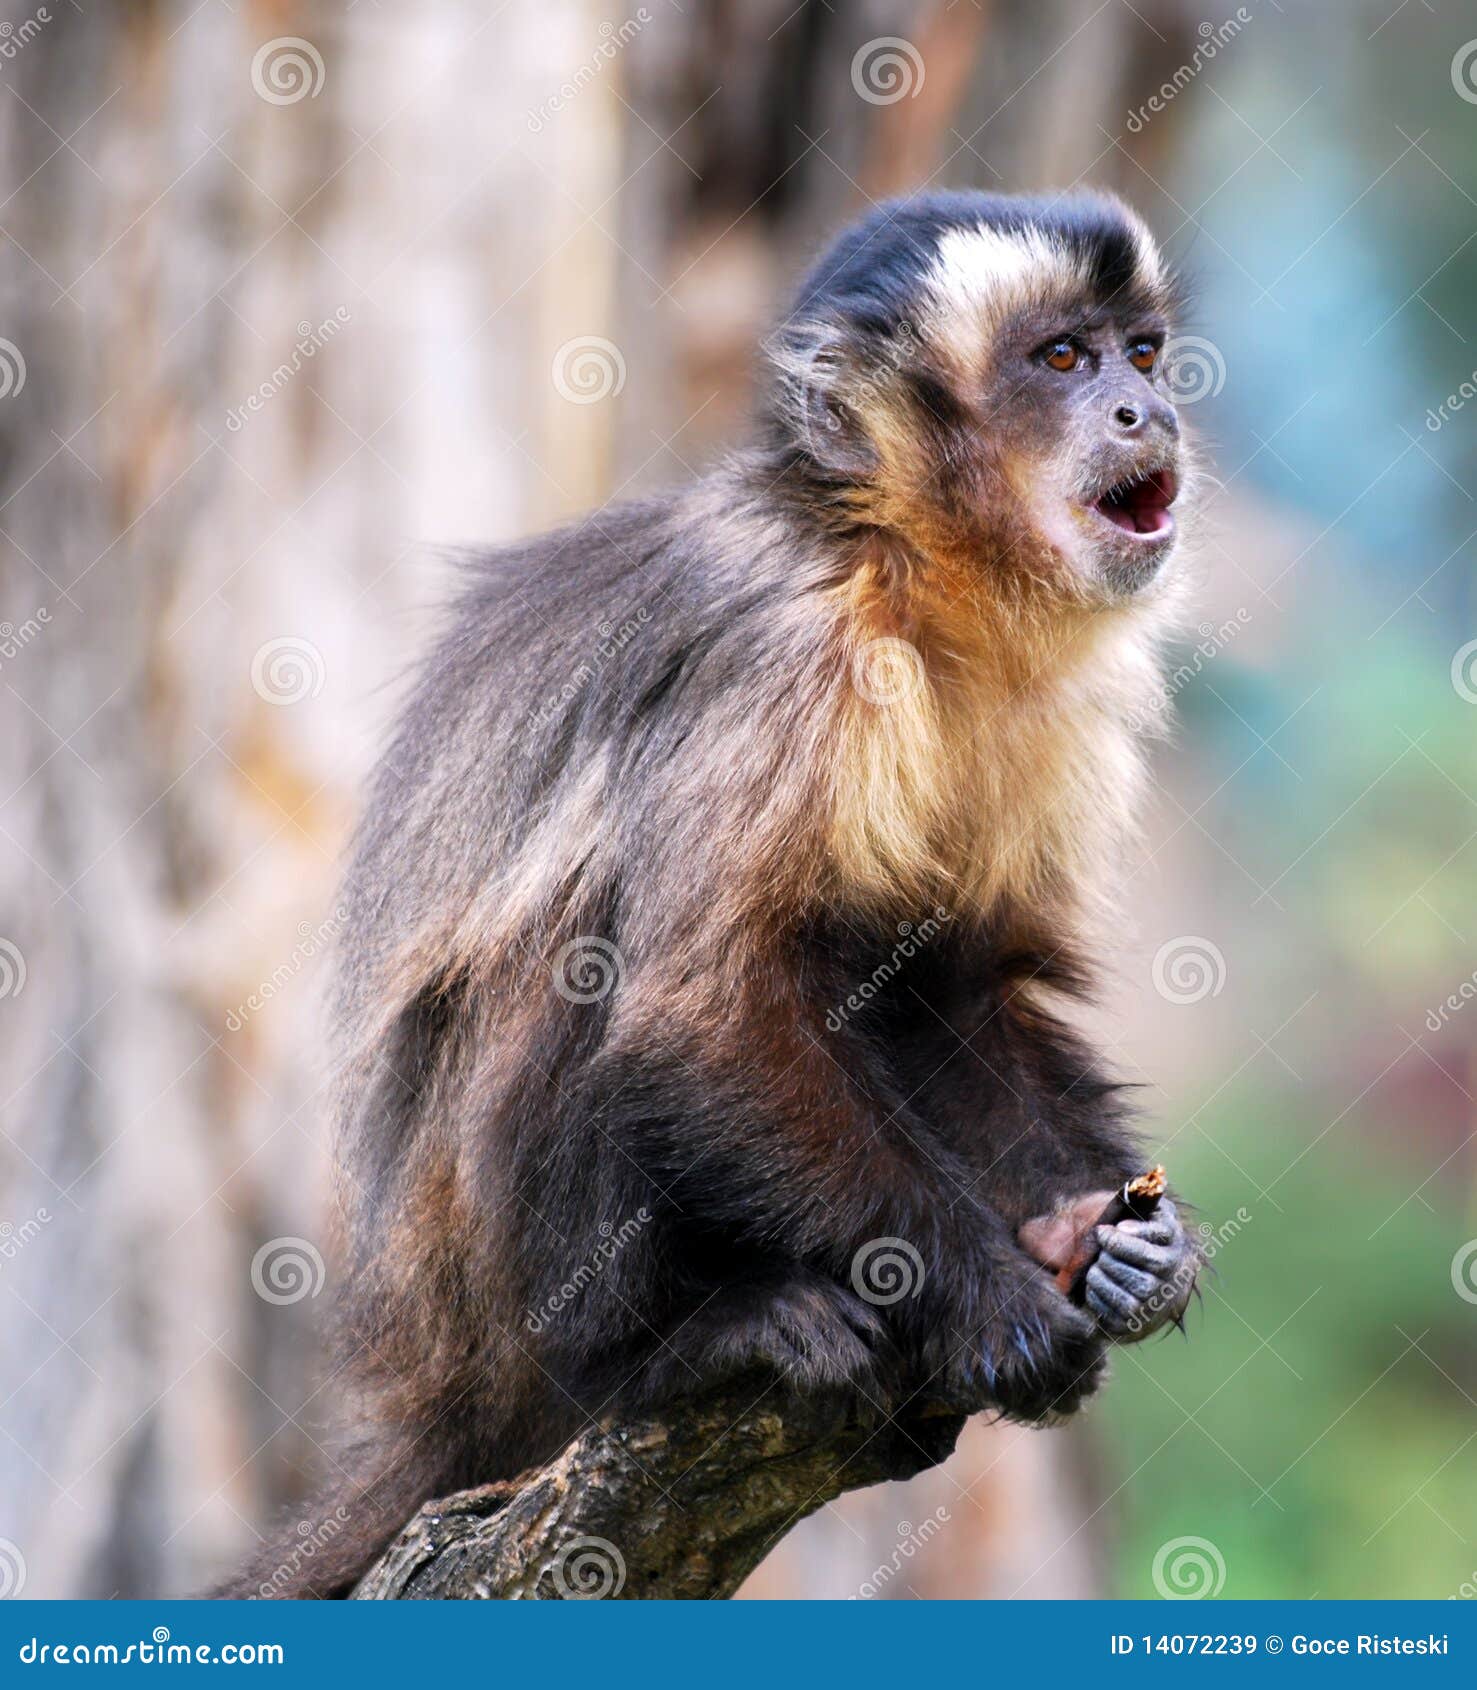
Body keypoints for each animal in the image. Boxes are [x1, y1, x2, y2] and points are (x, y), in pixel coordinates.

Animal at [221, 188, 1202, 1599]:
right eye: (1060, 360)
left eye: (1142, 352)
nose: (1143, 410)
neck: (904, 563)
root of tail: (435, 1380)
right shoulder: (788, 654)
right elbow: (699, 1003)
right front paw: (987, 1301)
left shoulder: (1053, 698)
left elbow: (955, 985)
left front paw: (1112, 1242)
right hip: (483, 1301)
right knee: (583, 949)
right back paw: (665, 1347)